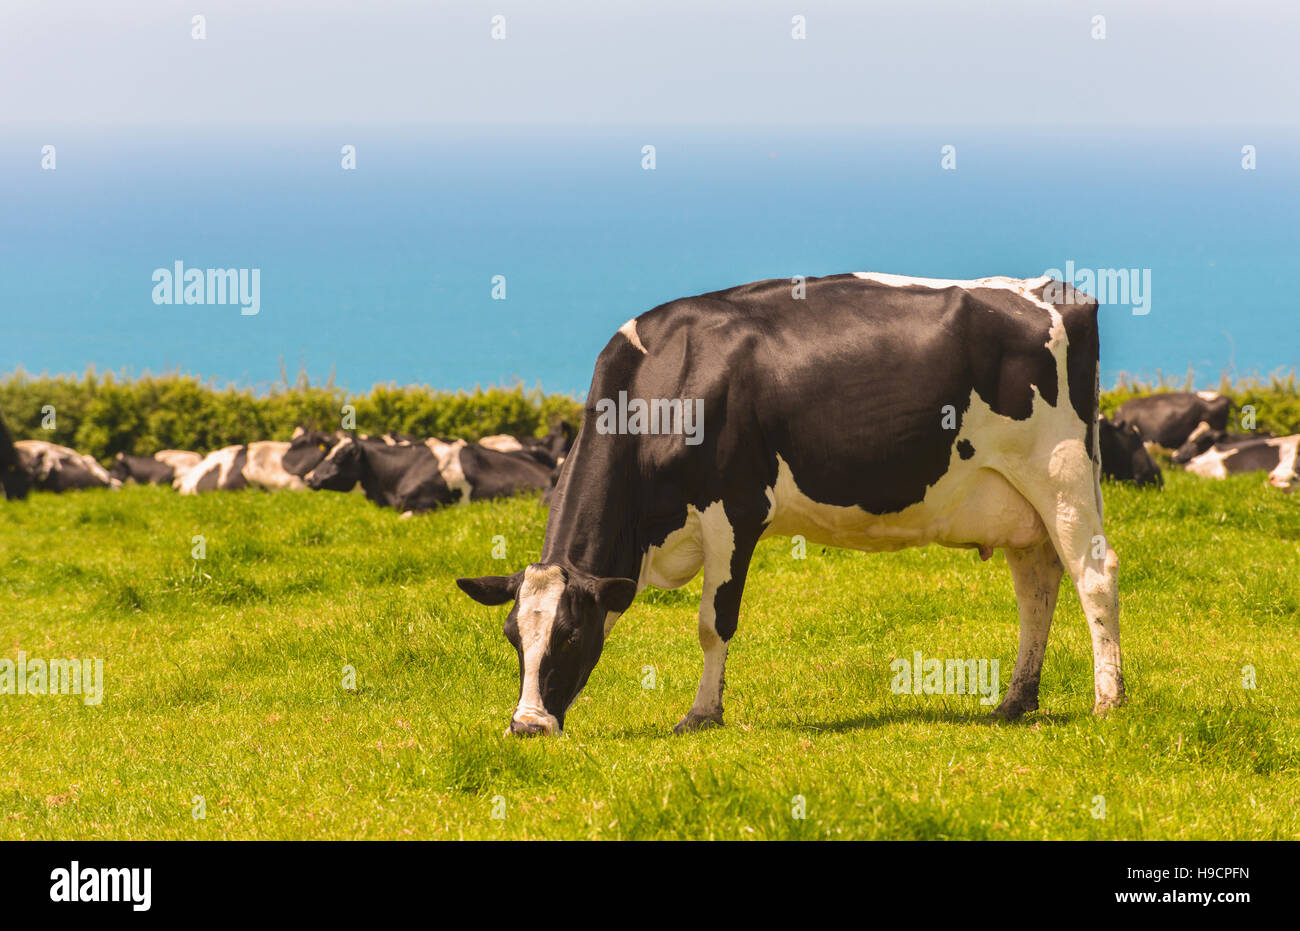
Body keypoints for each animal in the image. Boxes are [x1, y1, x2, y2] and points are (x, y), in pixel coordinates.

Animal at [456, 273, 1125, 737]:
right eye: (514, 638)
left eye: (570, 636)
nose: (527, 726)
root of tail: (1055, 291)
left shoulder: (734, 511)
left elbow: (713, 623)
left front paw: (701, 715)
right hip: (1018, 502)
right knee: (1038, 587)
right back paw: (1014, 702)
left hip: (1060, 470)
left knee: (1094, 575)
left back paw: (1107, 702)